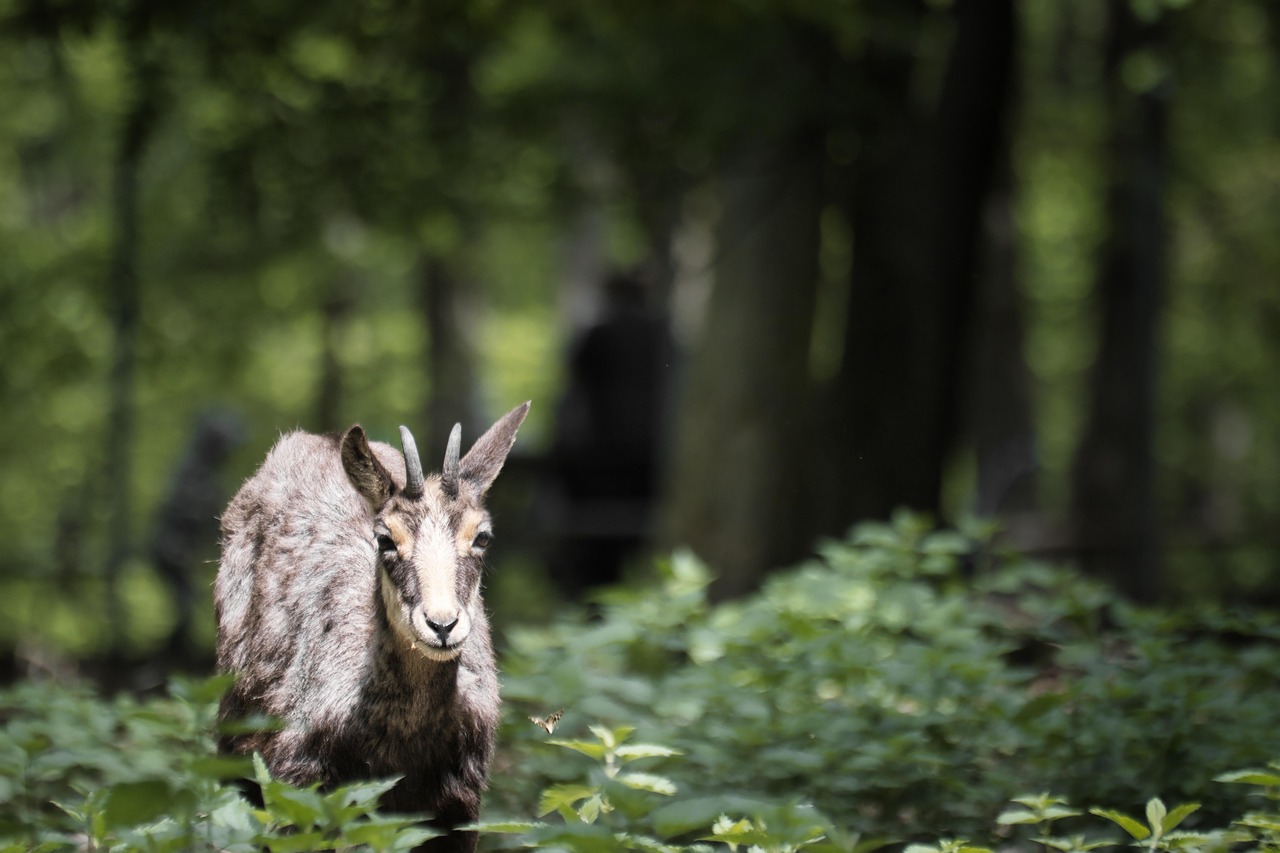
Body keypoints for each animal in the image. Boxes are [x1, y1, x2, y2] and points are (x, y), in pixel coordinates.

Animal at [215, 402, 530, 853]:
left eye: (481, 536)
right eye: (384, 538)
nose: (442, 624)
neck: (403, 739)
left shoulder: (459, 804)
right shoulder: (298, 784)